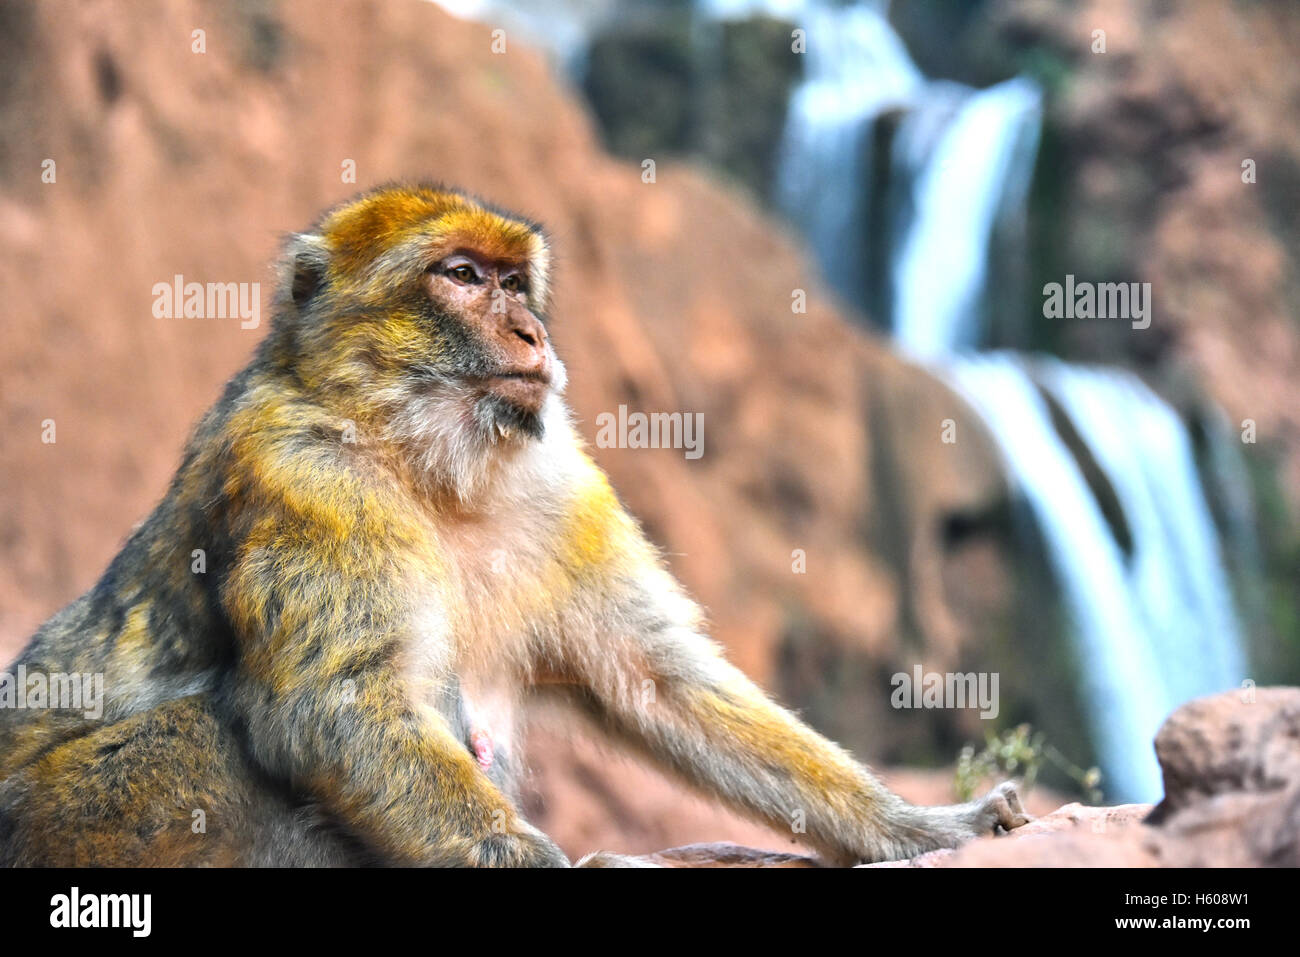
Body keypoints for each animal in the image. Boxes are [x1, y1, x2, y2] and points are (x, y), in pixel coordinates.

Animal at [0, 184, 1029, 867]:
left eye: (515, 282)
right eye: (461, 276)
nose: (532, 332)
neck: (426, 463)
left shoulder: (564, 489)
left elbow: (661, 682)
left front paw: (922, 827)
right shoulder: (302, 480)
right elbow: (336, 706)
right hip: (67, 821)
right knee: (215, 728)